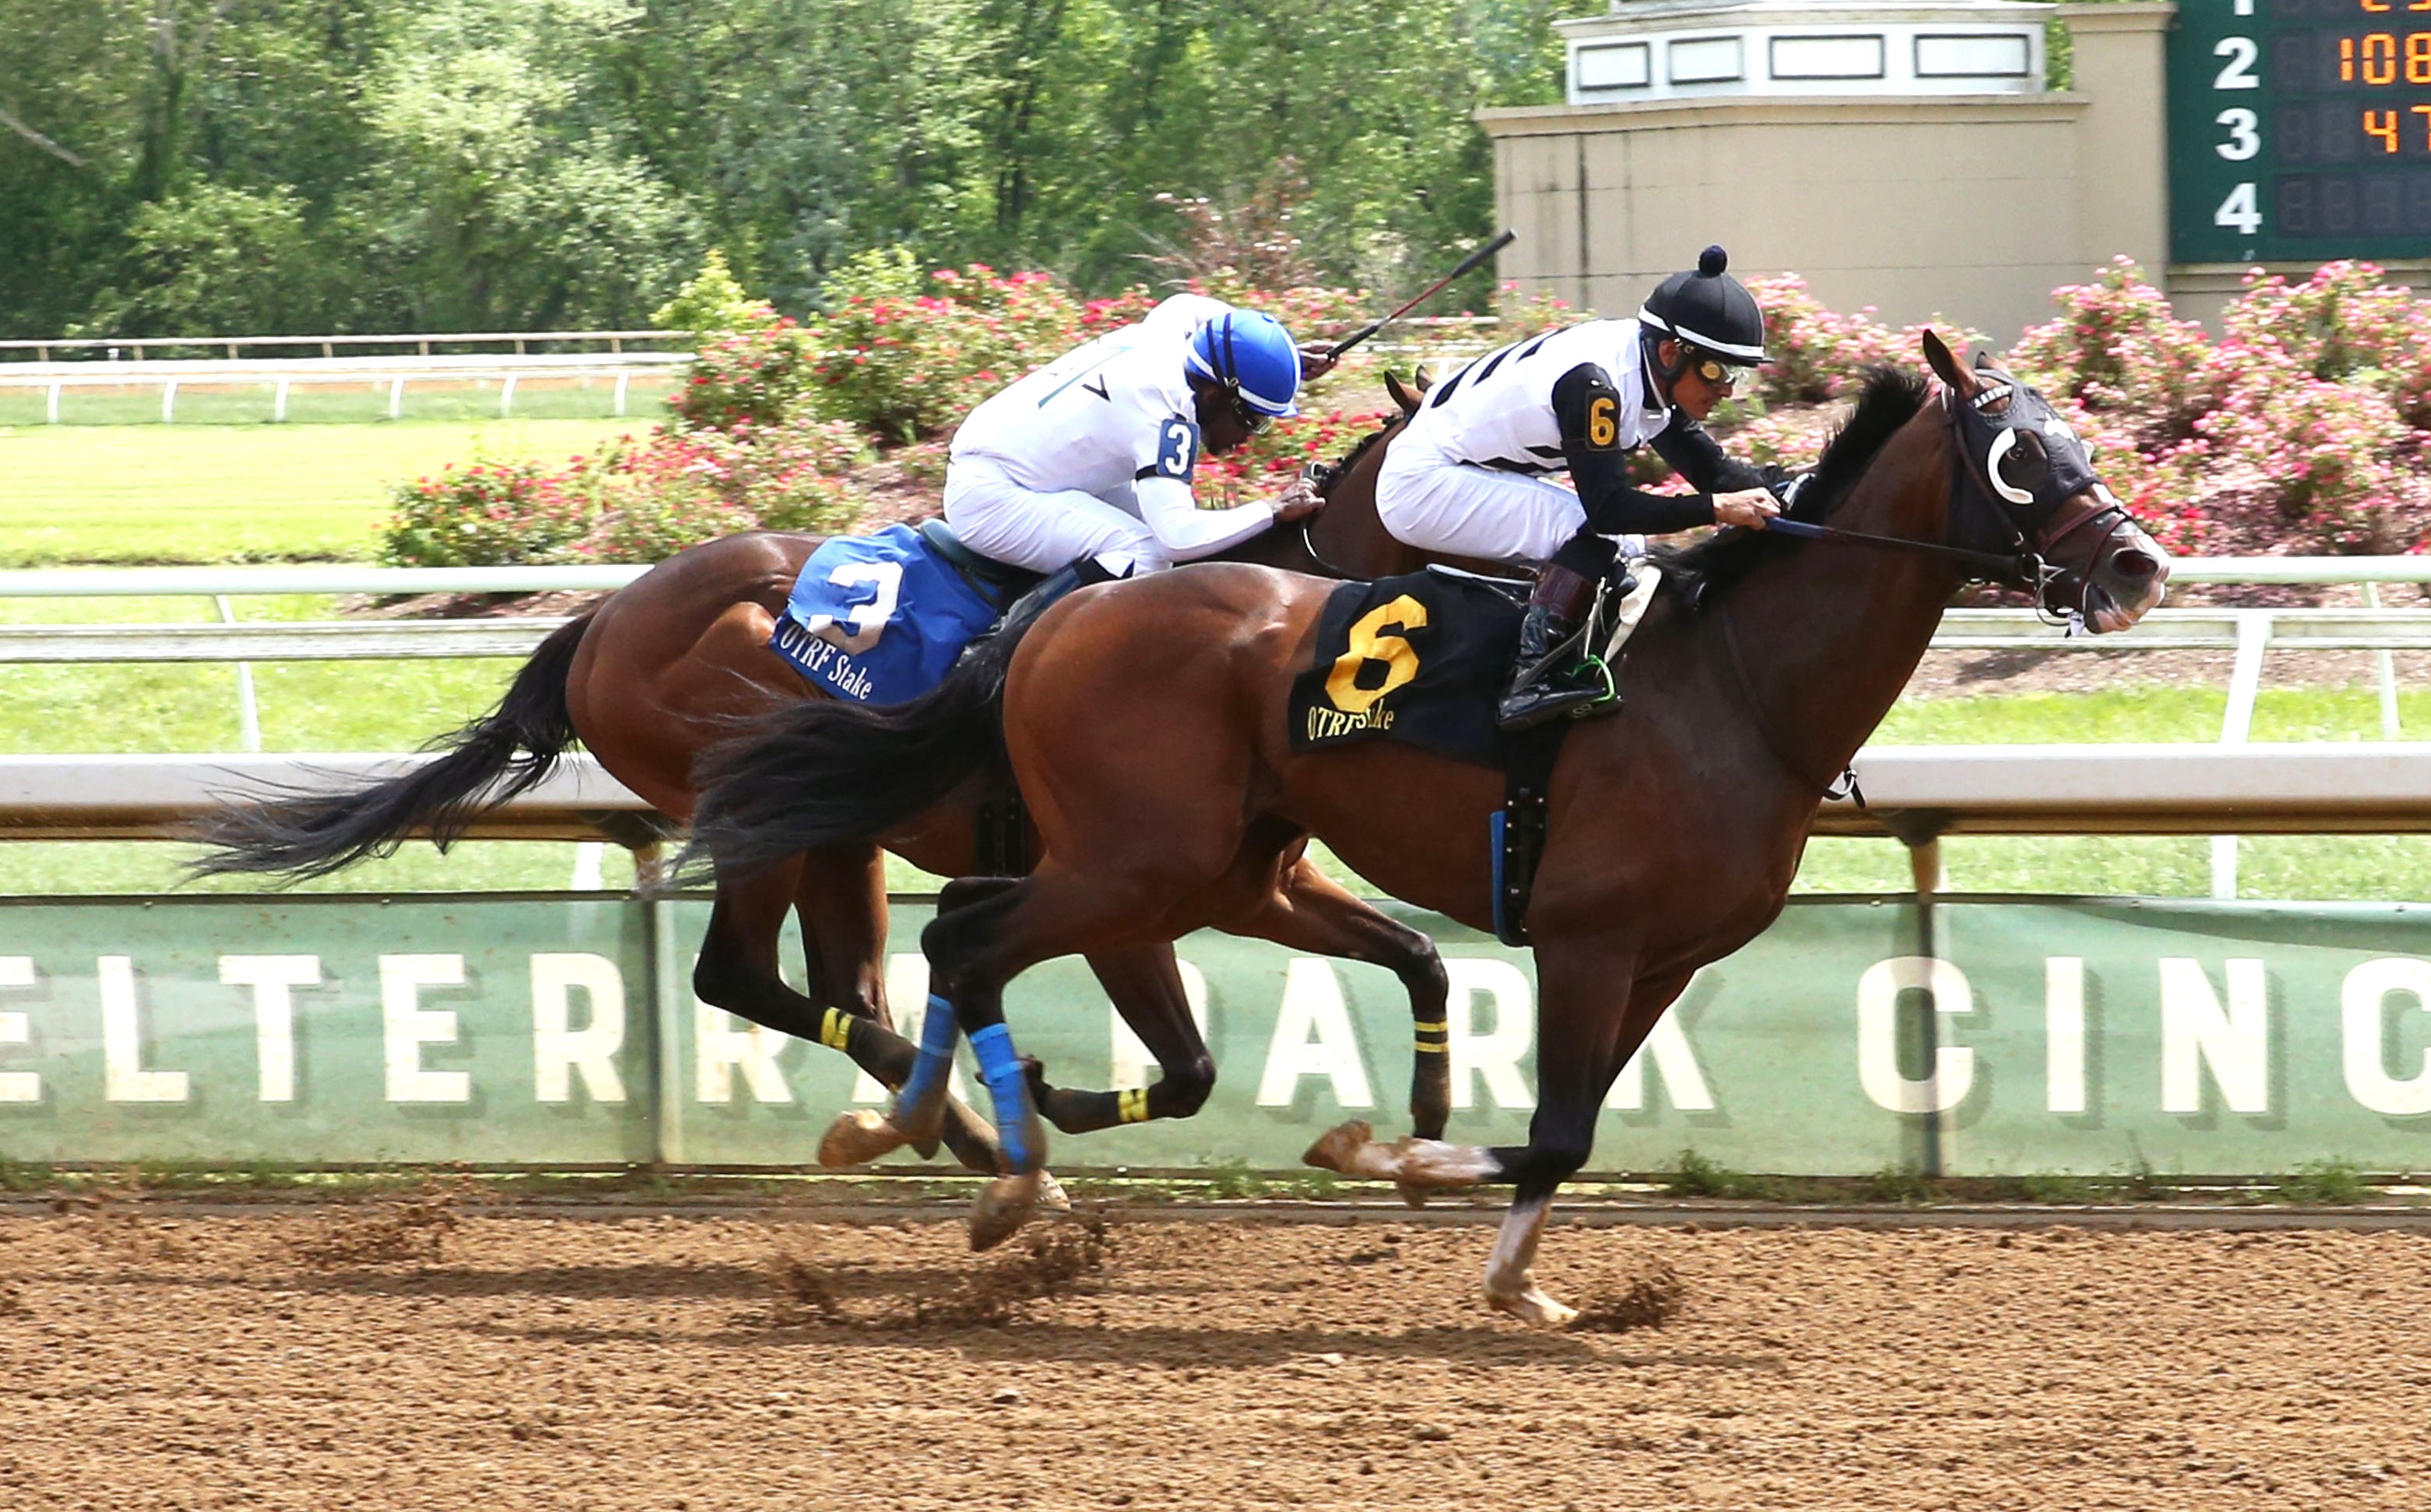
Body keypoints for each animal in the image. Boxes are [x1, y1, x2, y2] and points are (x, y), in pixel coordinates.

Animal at [192, 374, 1460, 1184]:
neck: (1259, 633)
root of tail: (602, 618)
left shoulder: (1247, 883)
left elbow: (1399, 956)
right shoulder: (1118, 883)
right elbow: (1186, 1060)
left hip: (839, 834)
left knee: (844, 984)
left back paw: (944, 1124)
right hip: (760, 812)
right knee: (737, 976)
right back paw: (948, 1123)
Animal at [680, 332, 2174, 1306]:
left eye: (2080, 439)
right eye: (2017, 455)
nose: (2139, 565)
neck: (1735, 688)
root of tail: (1058, 613)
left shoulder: (1661, 955)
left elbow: (1570, 1127)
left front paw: (1522, 1283)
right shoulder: (1585, 934)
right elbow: (1558, 1129)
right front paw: (1380, 1155)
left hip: (1204, 870)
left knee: (969, 944)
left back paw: (965, 1142)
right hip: (1135, 863)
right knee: (966, 940)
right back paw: (987, 1165)